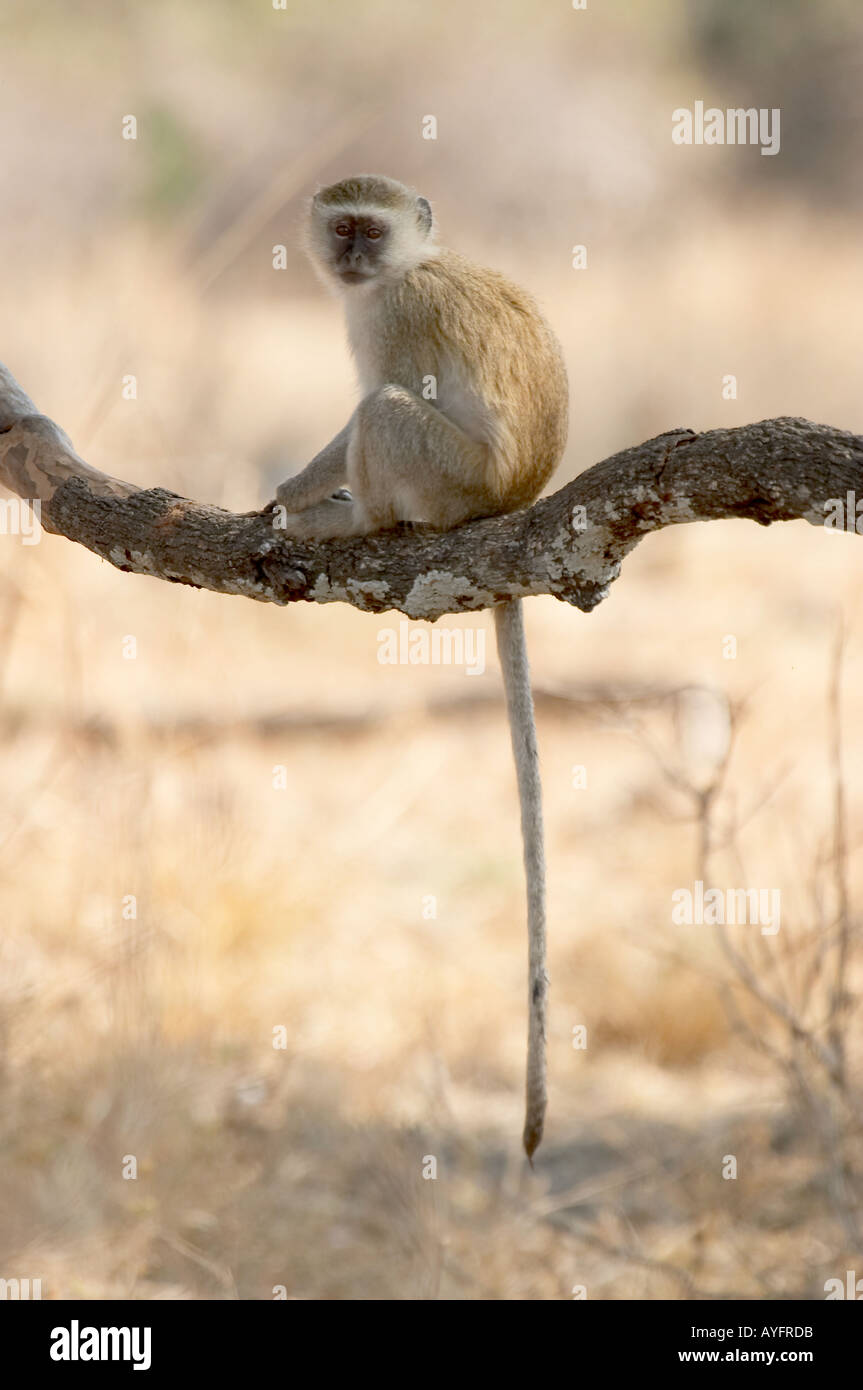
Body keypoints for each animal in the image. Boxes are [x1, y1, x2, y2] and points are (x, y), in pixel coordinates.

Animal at [273, 175, 569, 1160]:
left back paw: (354, 520)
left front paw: (287, 494)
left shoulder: (392, 316)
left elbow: (365, 401)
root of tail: (510, 503)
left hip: (446, 479)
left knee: (381, 414)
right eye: (343, 228)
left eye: (371, 230)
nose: (351, 257)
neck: (408, 268)